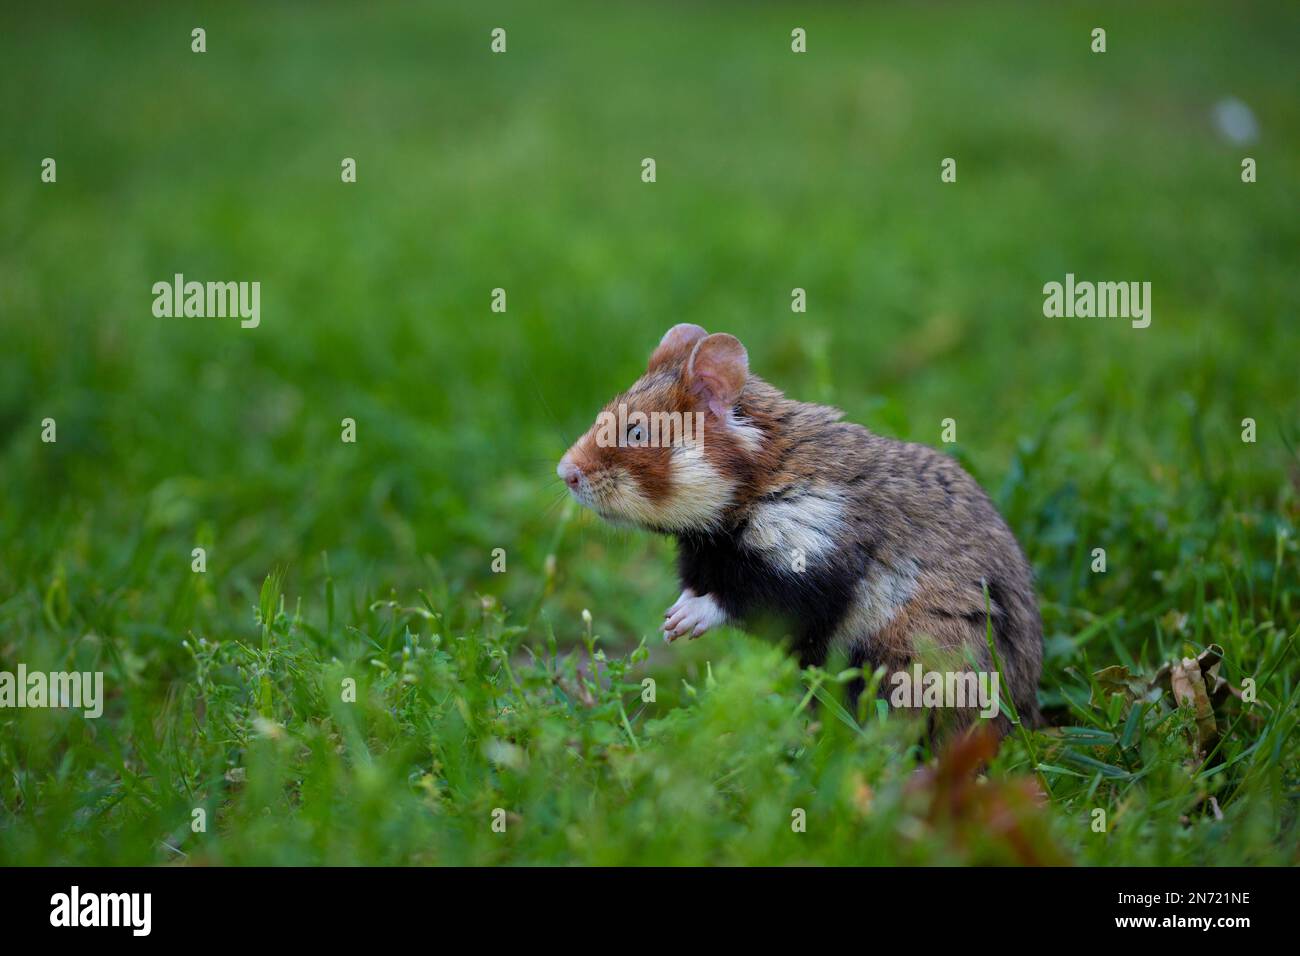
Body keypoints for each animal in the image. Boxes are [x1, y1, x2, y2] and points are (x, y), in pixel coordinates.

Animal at [557, 323, 1042, 736]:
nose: (564, 473)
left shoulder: (807, 561)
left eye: (637, 432)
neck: (755, 486)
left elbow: (739, 599)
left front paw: (683, 620)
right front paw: (670, 623)